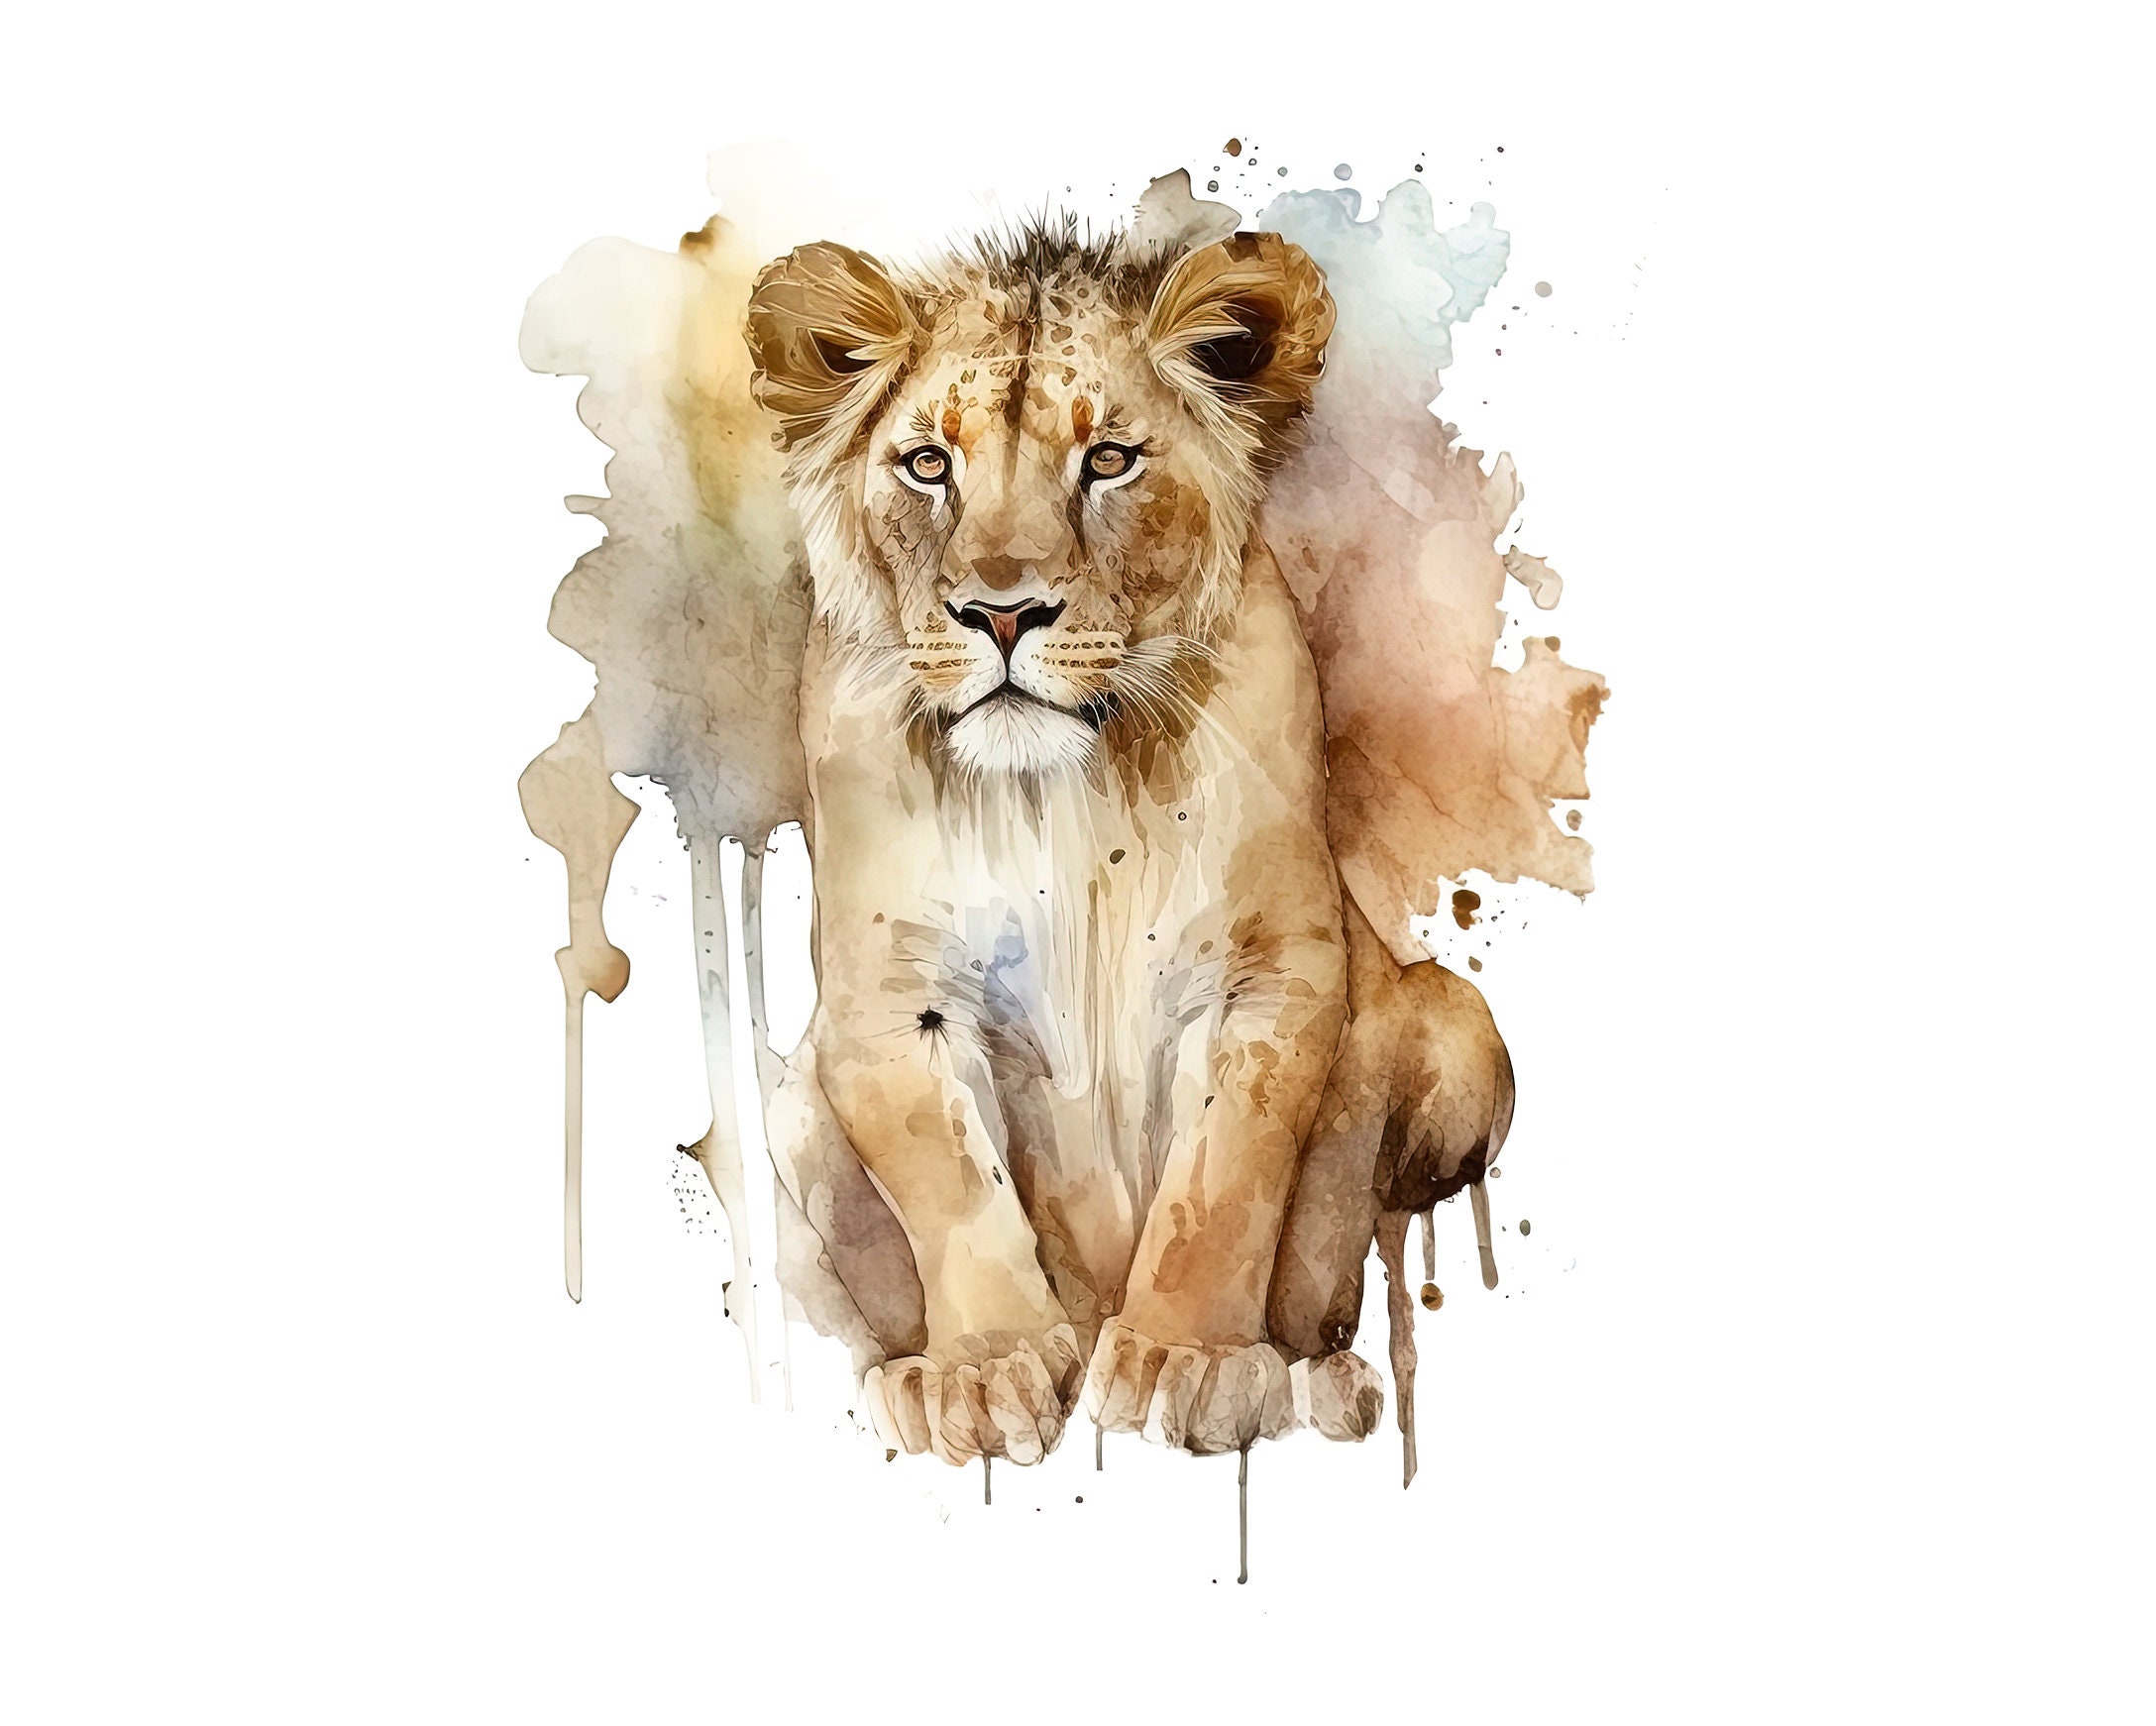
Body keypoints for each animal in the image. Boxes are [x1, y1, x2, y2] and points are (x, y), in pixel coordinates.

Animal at [736, 217, 1516, 1478]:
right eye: (928, 466)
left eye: (1106, 460)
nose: (1002, 613)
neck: (1065, 790)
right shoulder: (886, 996)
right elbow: (953, 1189)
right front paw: (985, 1368)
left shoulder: (1273, 973)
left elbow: (1220, 1184)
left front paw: (1183, 1363)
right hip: (793, 1108)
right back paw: (904, 1373)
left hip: (1457, 1024)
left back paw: (1321, 1372)